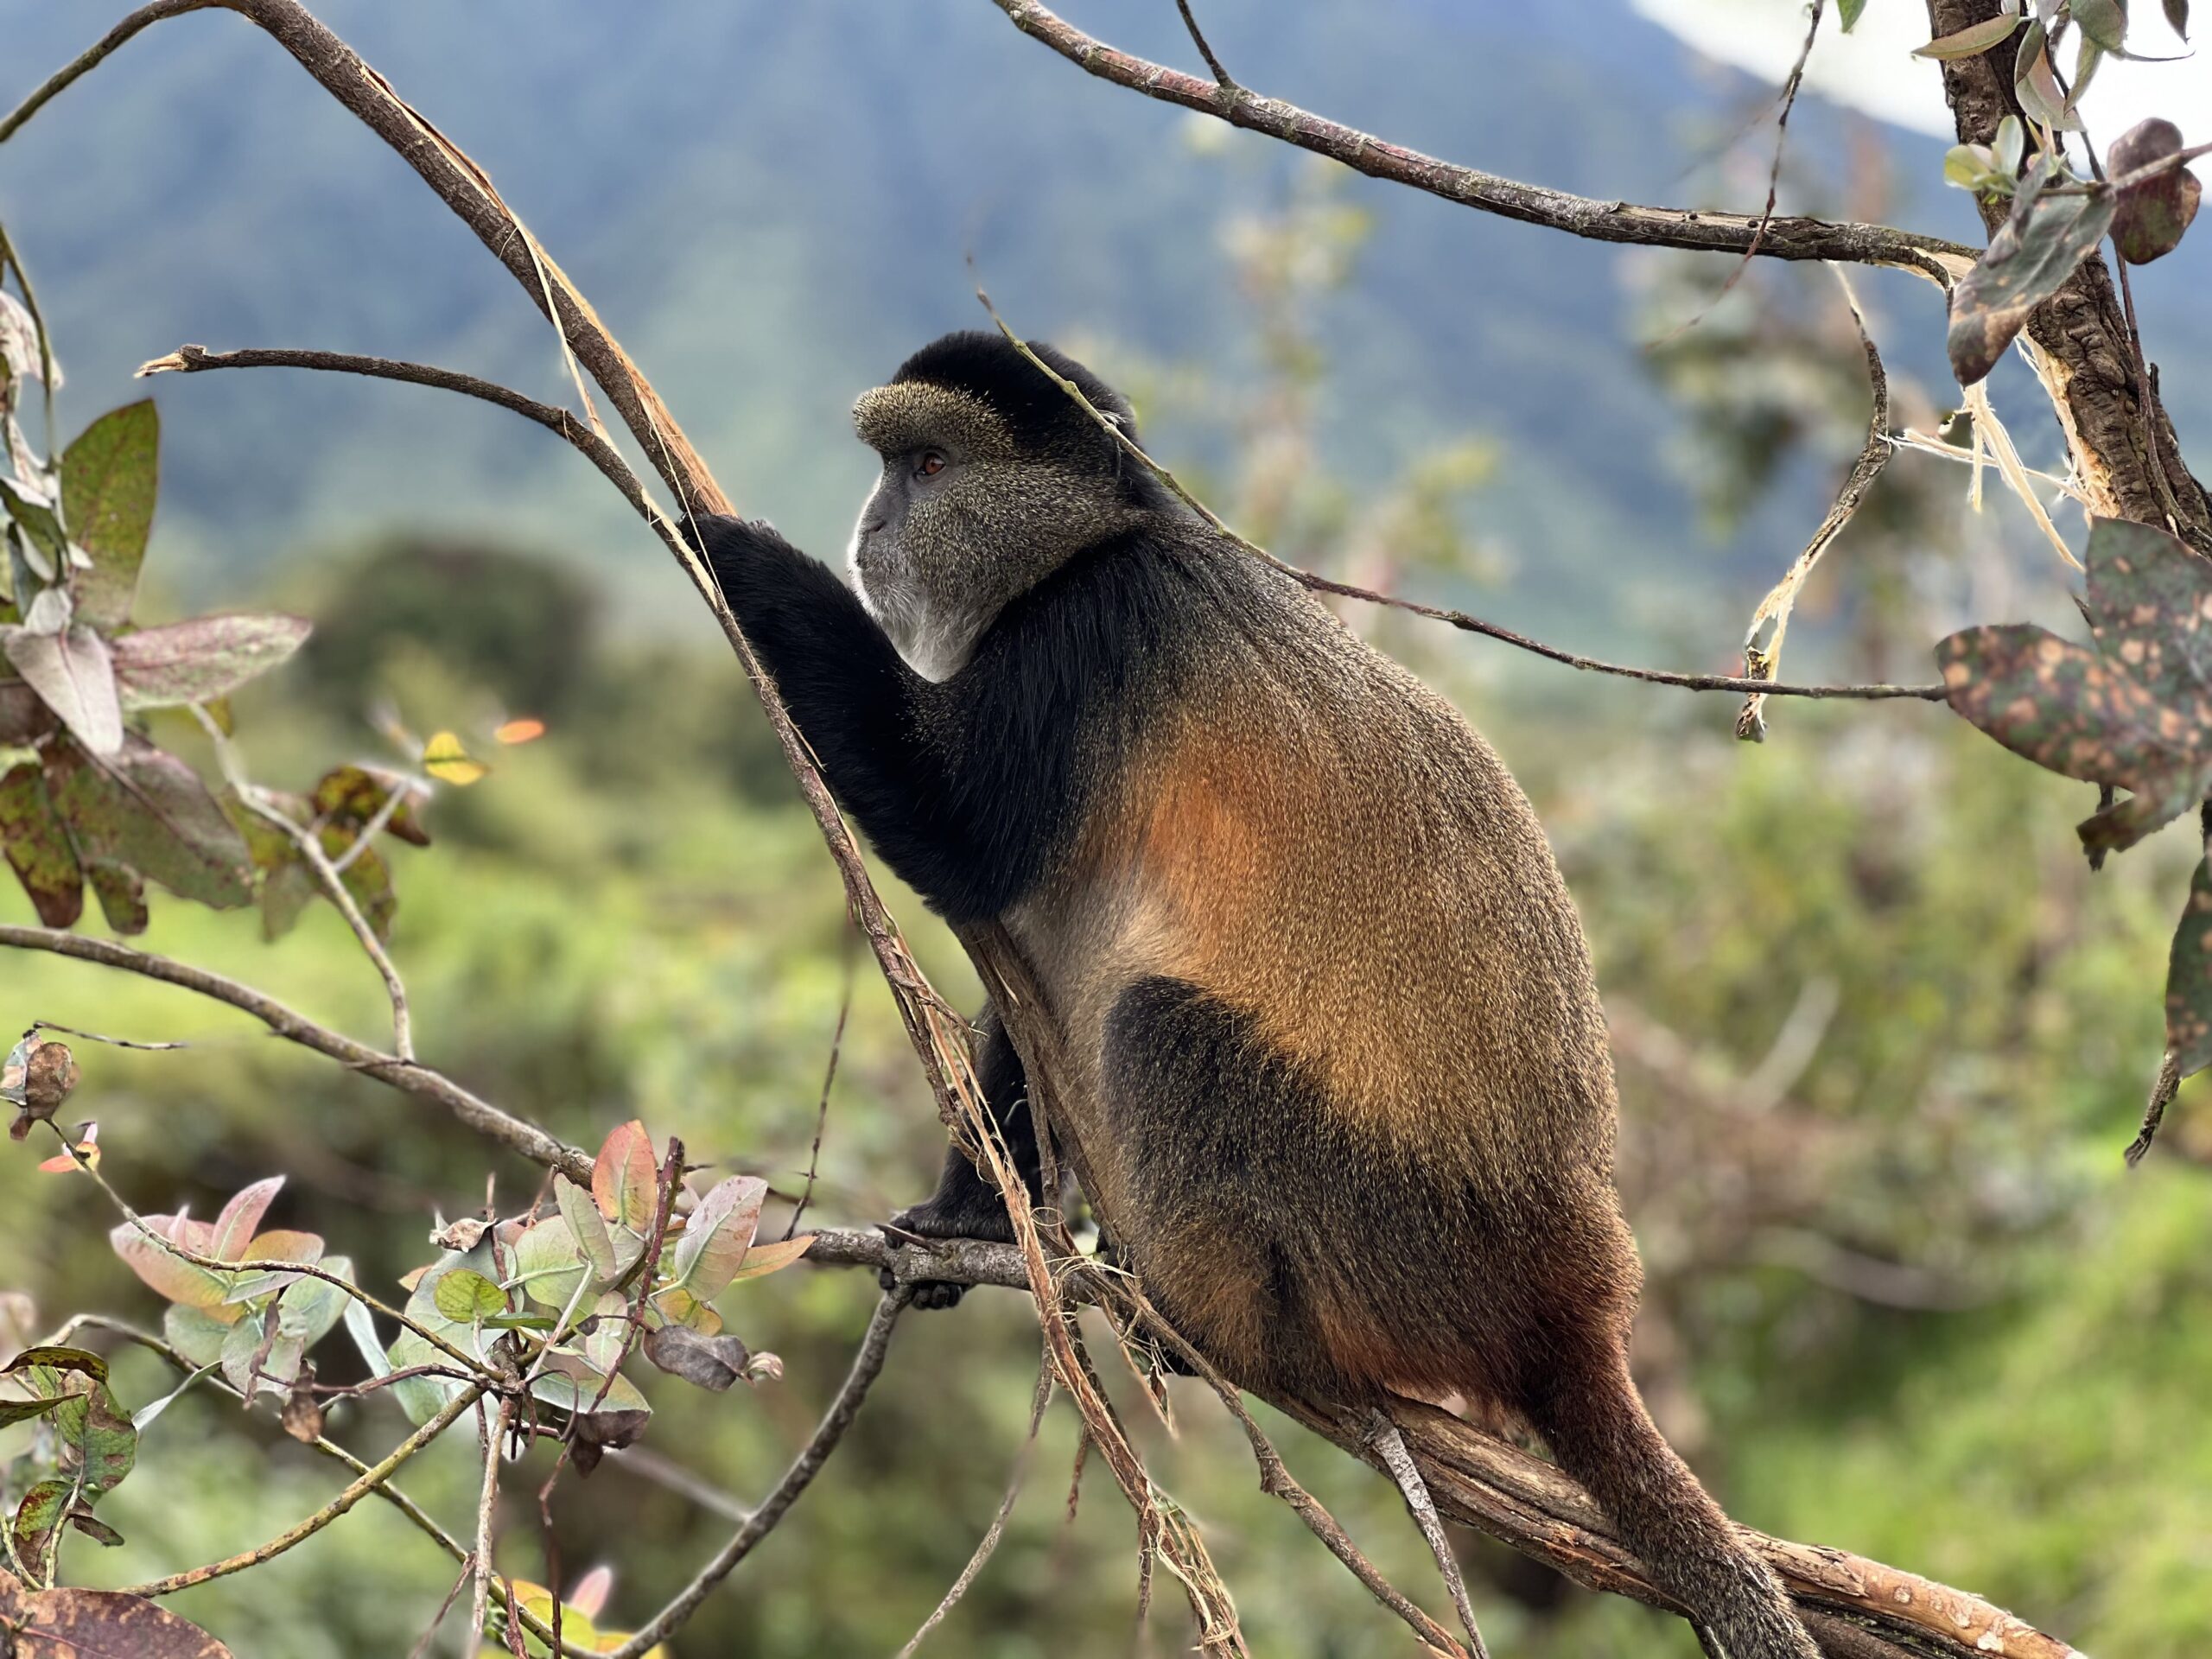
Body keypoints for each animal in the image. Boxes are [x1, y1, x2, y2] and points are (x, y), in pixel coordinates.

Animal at [691, 330, 1821, 1659]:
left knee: (1158, 1022)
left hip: (1386, 1238)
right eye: (889, 466)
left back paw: (1200, 1318)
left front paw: (743, 556)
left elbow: (953, 836)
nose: (870, 523)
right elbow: (1019, 974)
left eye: (925, 465)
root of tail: (1569, 1304)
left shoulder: (1084, 641)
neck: (1097, 538)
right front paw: (970, 1219)